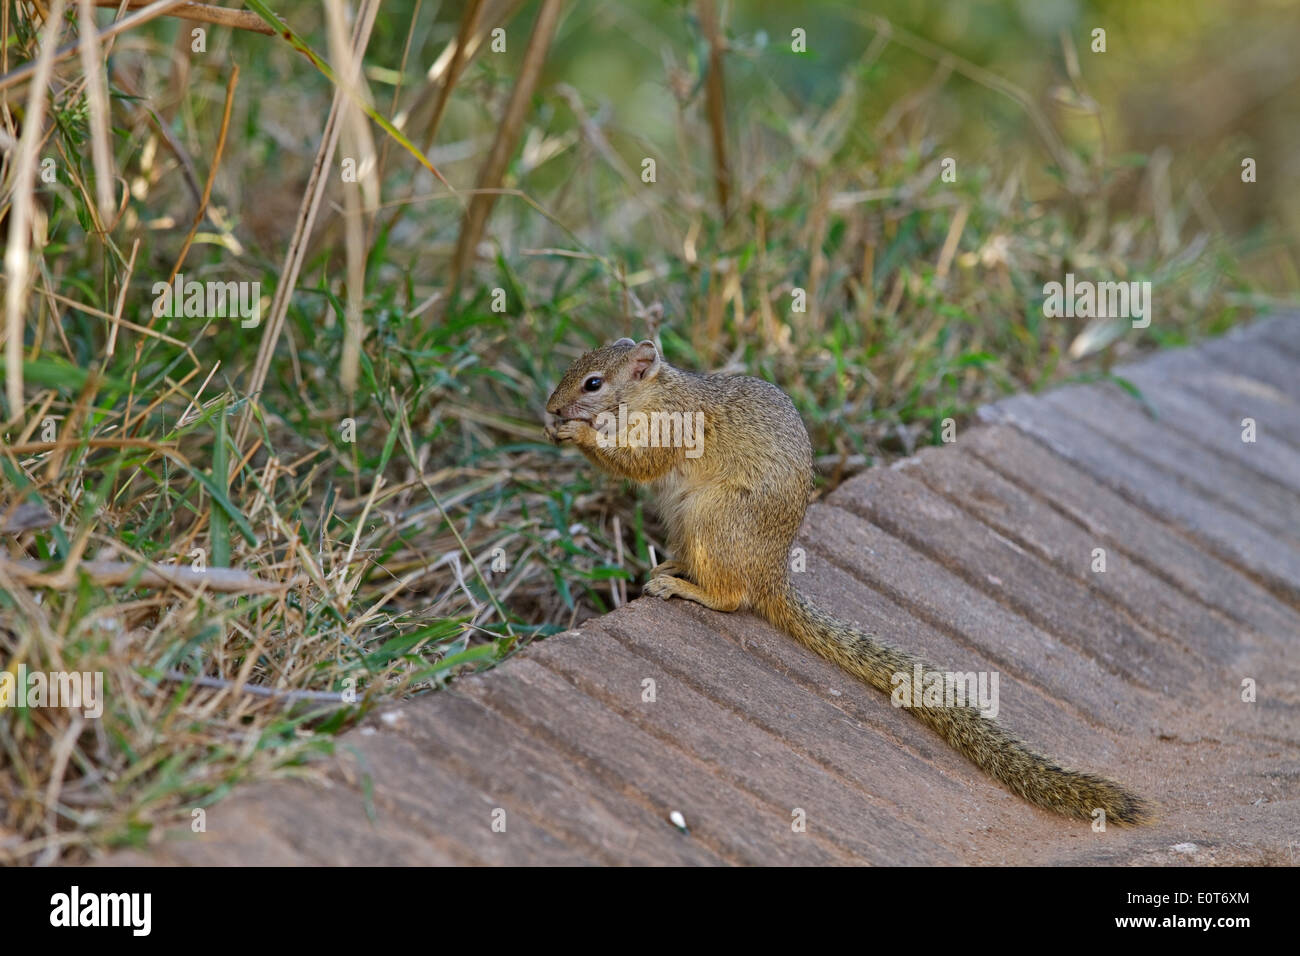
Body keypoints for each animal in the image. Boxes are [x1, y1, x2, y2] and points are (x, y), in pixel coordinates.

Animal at [545, 337, 1152, 825]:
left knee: (733, 597)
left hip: (715, 519)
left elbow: (640, 462)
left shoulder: (672, 427)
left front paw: (578, 433)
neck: (651, 396)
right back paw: (671, 567)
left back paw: (684, 587)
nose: (550, 409)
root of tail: (772, 572)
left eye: (594, 382)